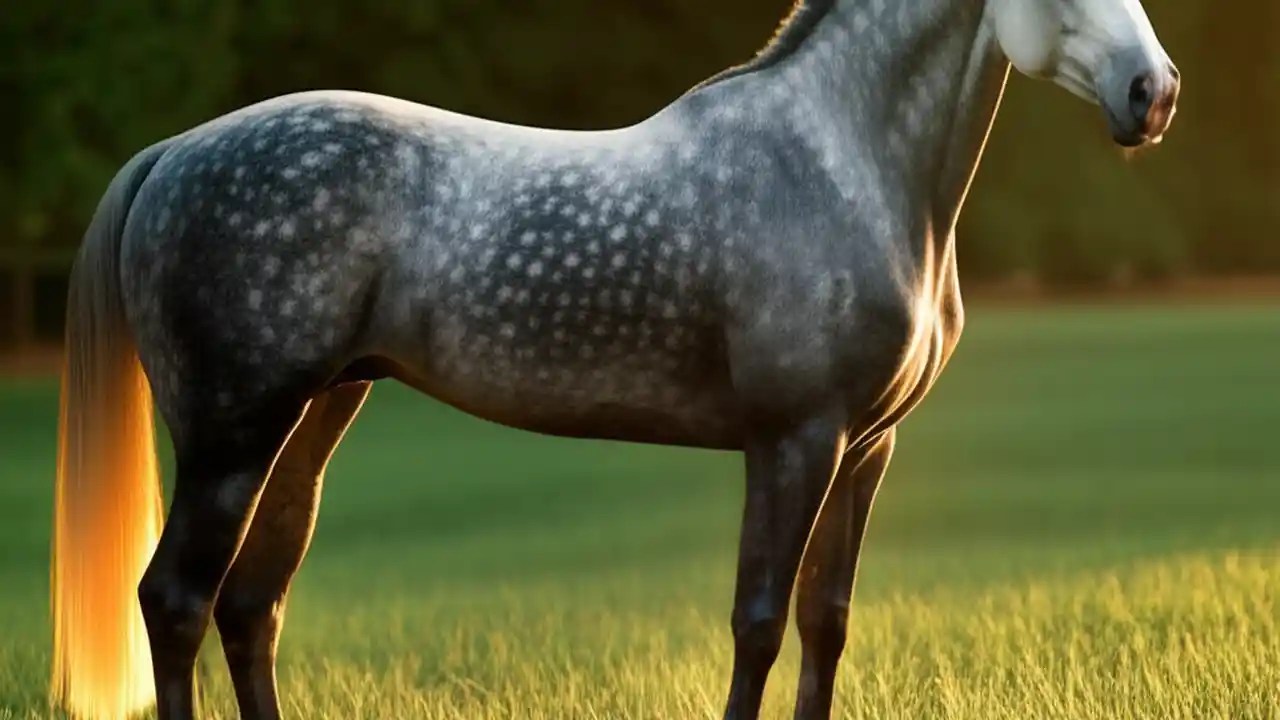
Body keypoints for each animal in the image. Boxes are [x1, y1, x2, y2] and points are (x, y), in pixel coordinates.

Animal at [50, 0, 1179, 718]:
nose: (1153, 93)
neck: (839, 160)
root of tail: (172, 154)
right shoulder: (794, 440)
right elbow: (759, 623)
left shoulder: (866, 450)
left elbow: (825, 626)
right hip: (231, 434)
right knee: (177, 603)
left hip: (314, 414)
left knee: (251, 605)